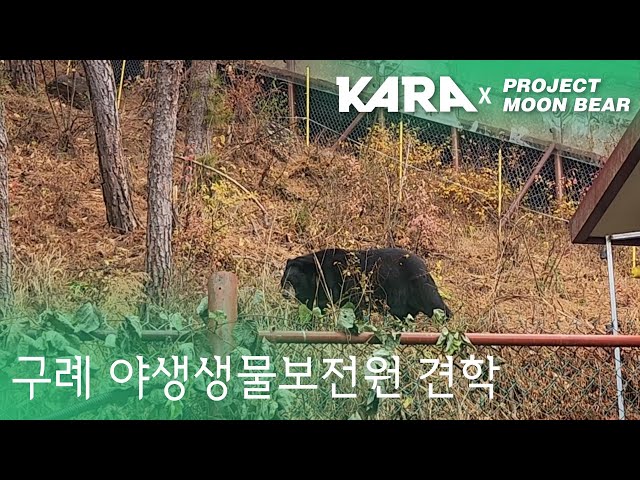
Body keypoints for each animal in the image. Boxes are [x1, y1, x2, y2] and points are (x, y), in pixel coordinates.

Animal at [279, 247, 452, 321]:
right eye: (284, 281)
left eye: (292, 281)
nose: (284, 294)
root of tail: (424, 266)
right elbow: (316, 305)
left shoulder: (340, 280)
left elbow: (353, 303)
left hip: (416, 285)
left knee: (433, 303)